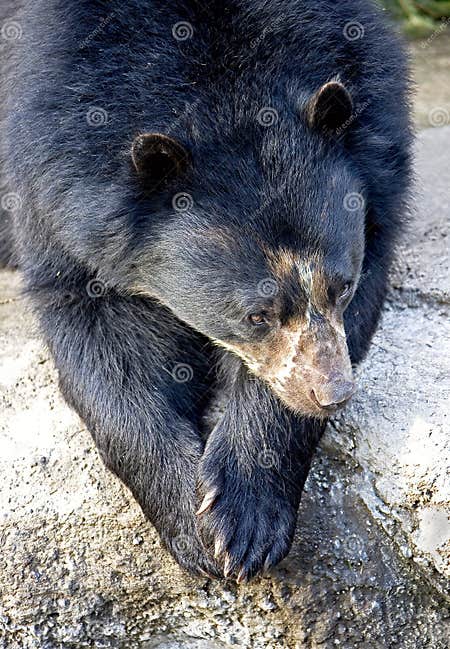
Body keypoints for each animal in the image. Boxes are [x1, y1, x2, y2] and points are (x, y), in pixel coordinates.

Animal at [0, 0, 412, 582]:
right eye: (257, 314)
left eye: (342, 287)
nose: (331, 394)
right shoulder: (52, 180)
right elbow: (101, 342)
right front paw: (189, 521)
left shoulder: (380, 166)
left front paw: (243, 521)